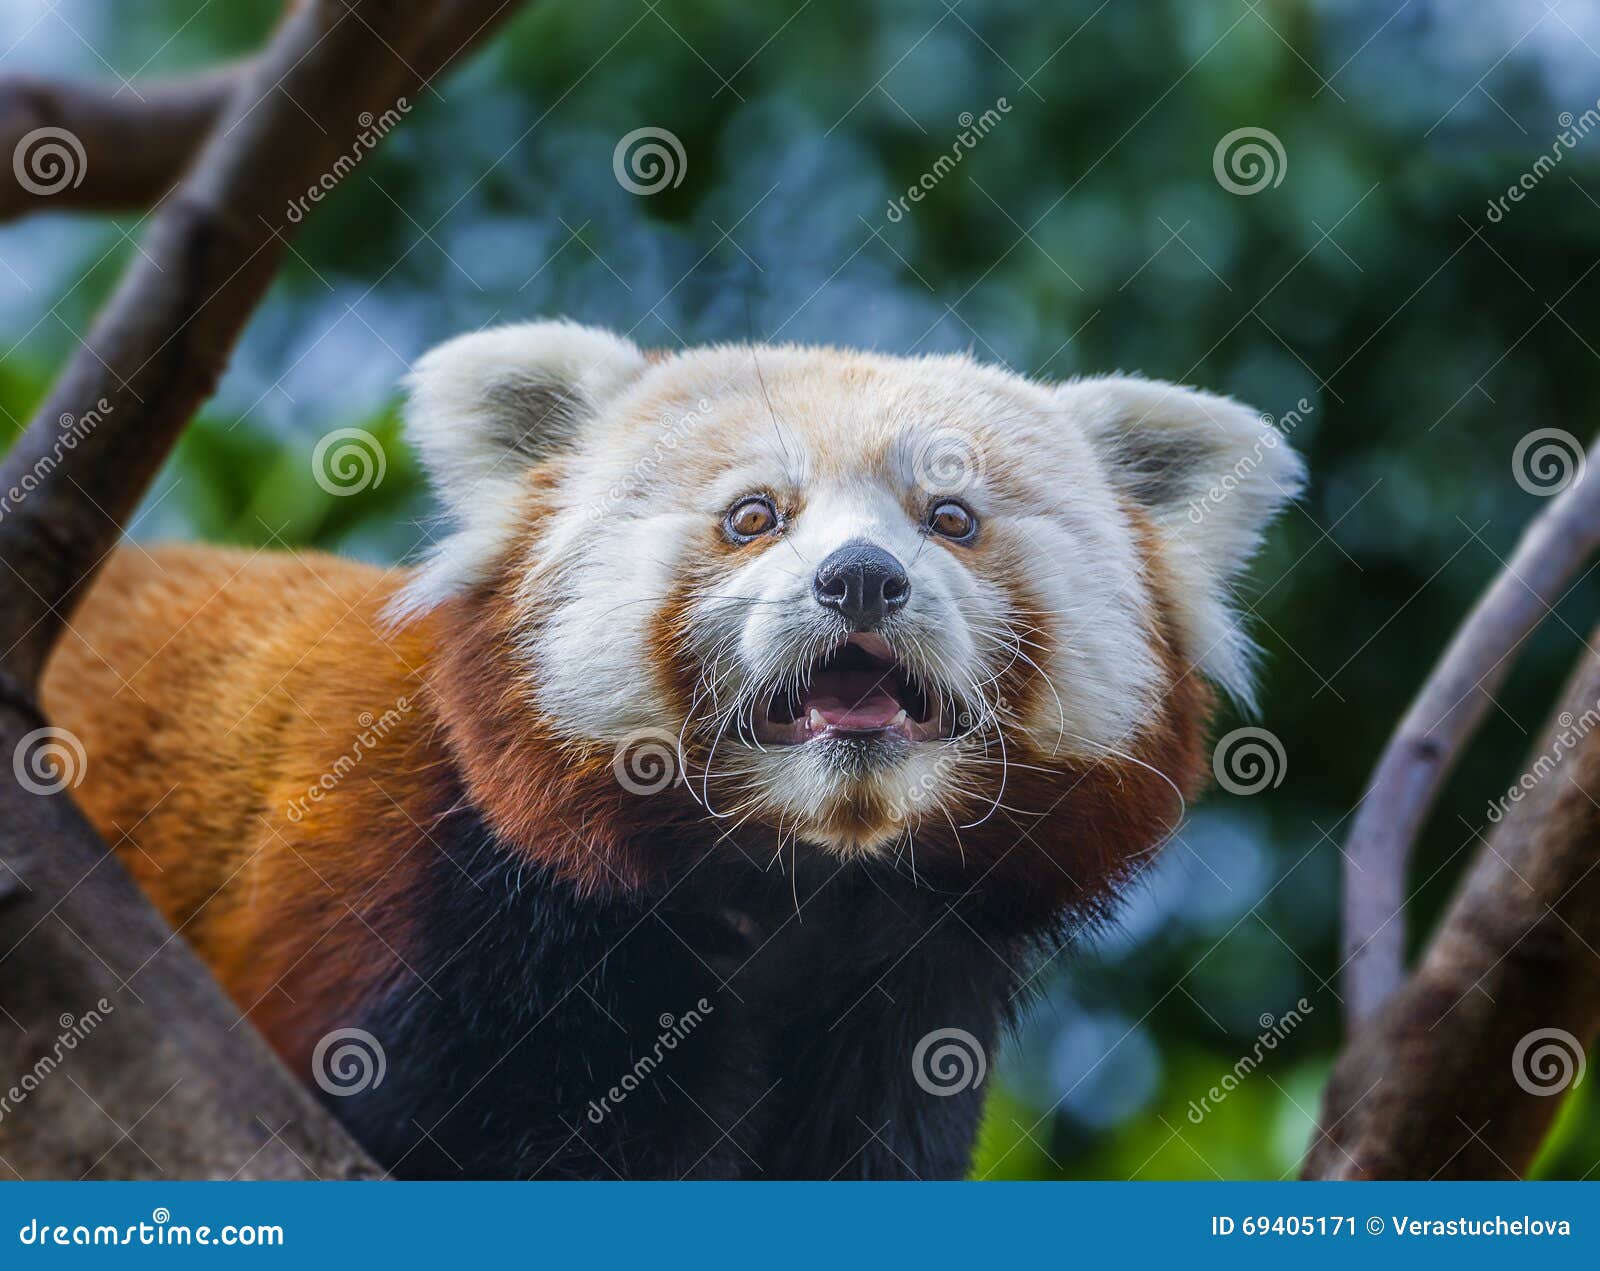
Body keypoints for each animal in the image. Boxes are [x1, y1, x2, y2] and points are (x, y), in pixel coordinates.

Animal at [42, 321, 1303, 1178]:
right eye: (754, 516)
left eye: (952, 519)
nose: (860, 578)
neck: (798, 886)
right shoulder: (436, 918)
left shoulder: (909, 995)